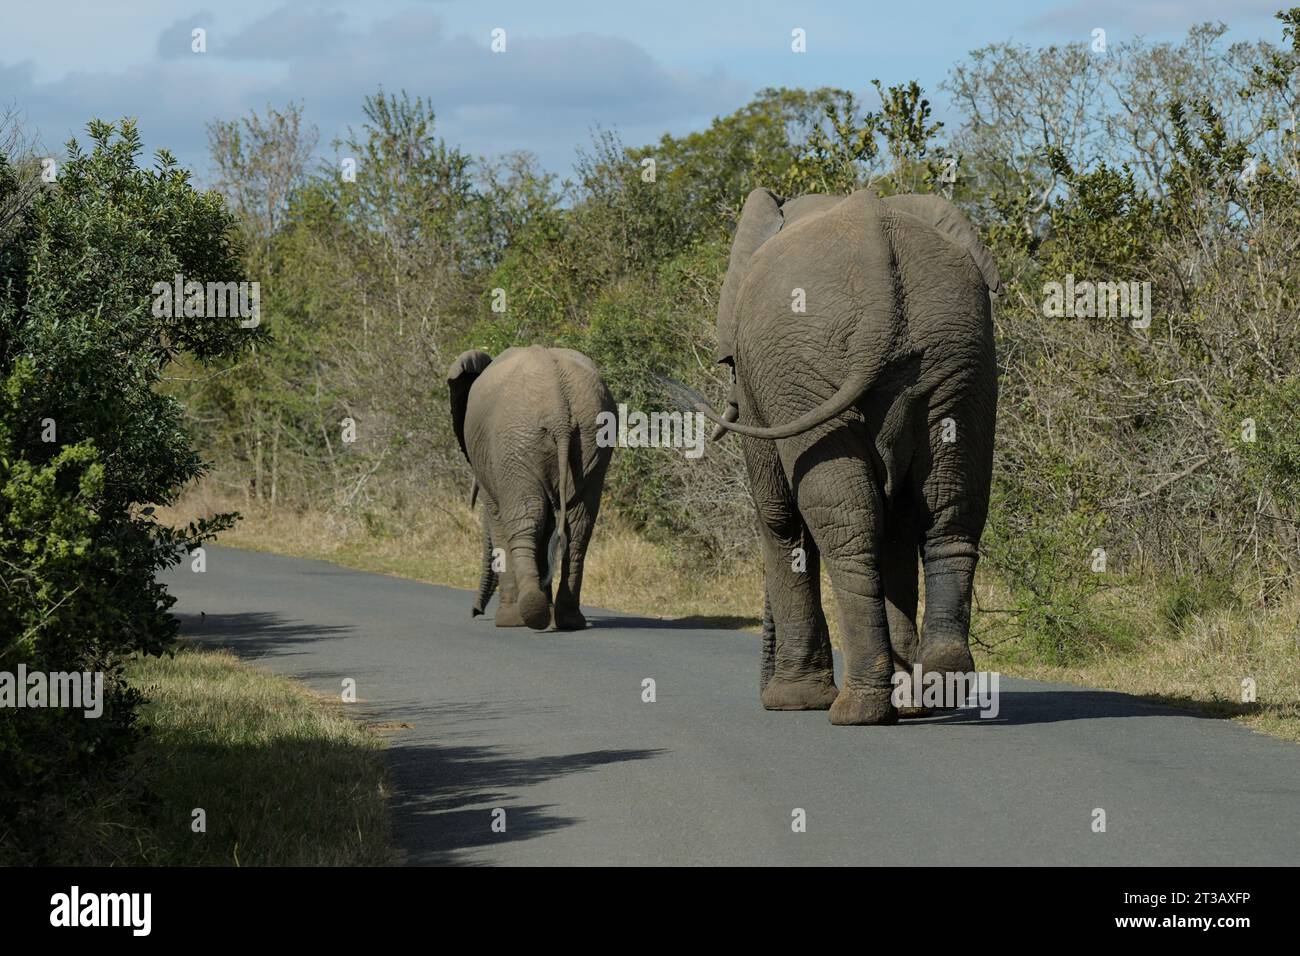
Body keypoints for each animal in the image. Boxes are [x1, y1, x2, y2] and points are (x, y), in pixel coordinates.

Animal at [447, 345, 615, 631]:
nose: (475, 612)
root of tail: (559, 409)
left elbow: (498, 521)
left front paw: (509, 620)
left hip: (516, 444)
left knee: (525, 520)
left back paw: (527, 614)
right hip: (591, 440)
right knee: (578, 526)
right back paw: (568, 620)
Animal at [684, 188, 1001, 725]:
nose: (763, 688)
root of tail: (879, 270)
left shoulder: (764, 389)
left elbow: (779, 517)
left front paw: (791, 702)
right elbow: (899, 526)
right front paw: (909, 700)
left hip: (803, 371)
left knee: (844, 520)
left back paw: (855, 710)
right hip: (960, 358)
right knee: (949, 510)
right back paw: (938, 687)